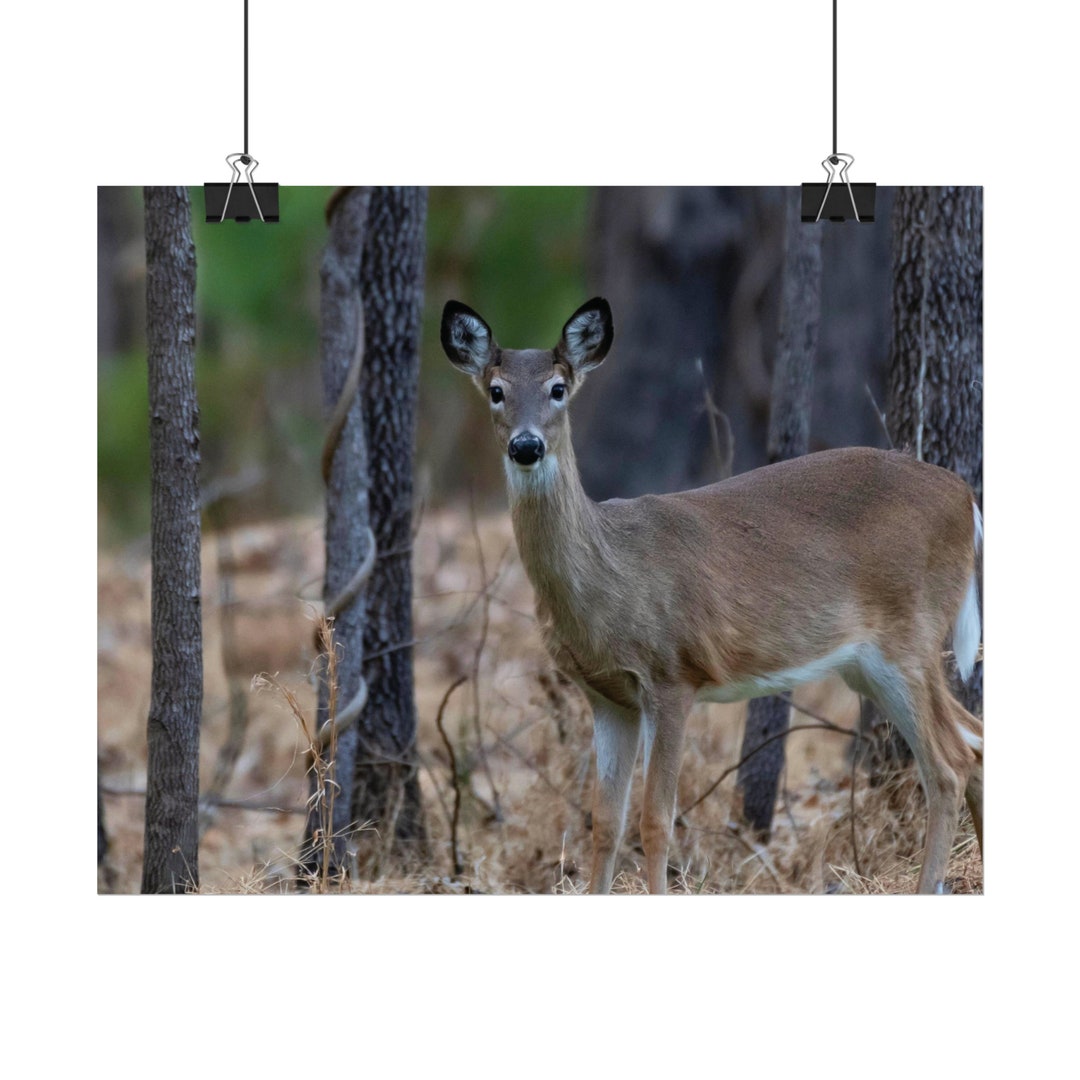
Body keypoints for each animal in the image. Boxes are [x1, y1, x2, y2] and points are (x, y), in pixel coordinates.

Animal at [440, 296, 984, 895]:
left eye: (559, 388)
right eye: (496, 390)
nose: (527, 445)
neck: (610, 579)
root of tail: (966, 497)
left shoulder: (672, 673)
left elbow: (655, 820)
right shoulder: (606, 695)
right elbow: (604, 821)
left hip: (908, 635)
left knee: (950, 763)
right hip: (867, 663)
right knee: (976, 739)